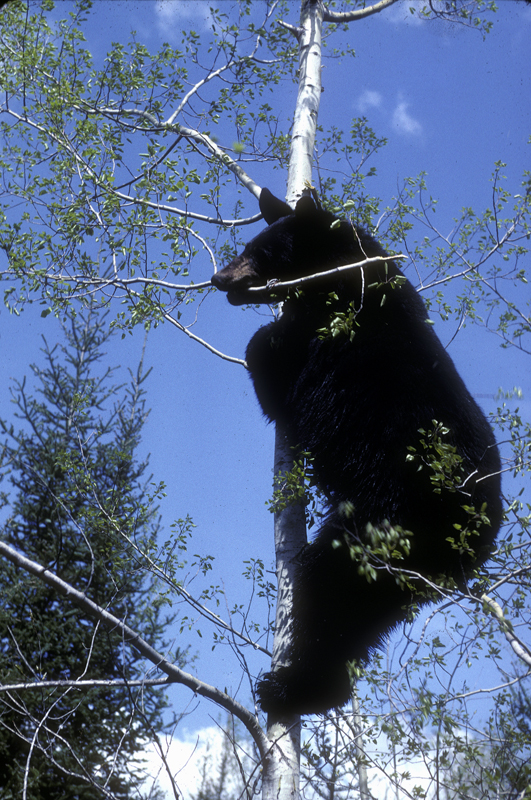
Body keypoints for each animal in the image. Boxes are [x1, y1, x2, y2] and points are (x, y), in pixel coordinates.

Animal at [211, 188, 502, 716]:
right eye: (248, 245)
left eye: (260, 252)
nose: (219, 278)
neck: (349, 277)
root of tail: (473, 532)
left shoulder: (323, 343)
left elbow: (274, 367)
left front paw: (264, 343)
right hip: (402, 571)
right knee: (364, 618)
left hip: (384, 522)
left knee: (329, 586)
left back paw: (289, 686)